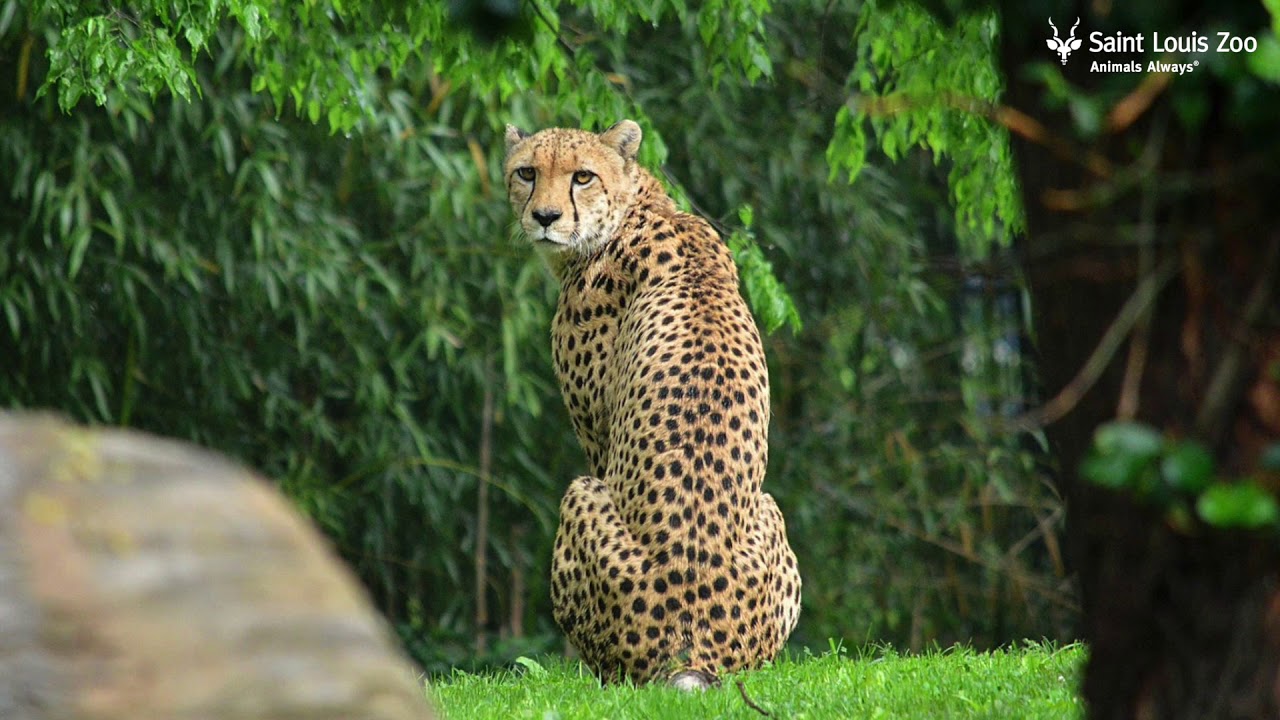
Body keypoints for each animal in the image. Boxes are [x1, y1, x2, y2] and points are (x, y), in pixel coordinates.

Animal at [503, 119, 801, 688]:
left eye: (582, 176)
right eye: (526, 172)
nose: (545, 217)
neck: (634, 206)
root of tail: (690, 646)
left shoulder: (597, 439)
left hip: (583, 494)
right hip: (769, 512)